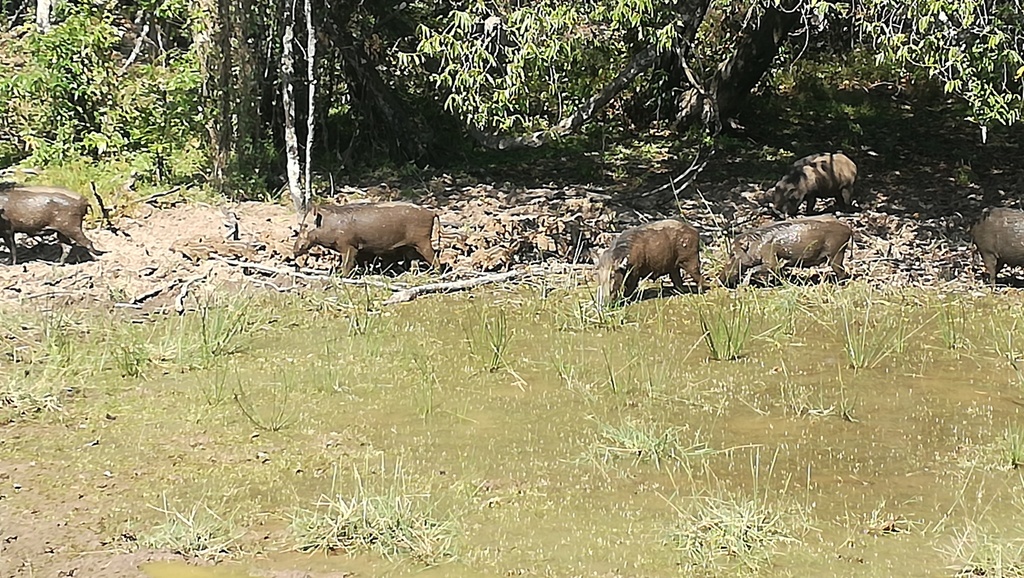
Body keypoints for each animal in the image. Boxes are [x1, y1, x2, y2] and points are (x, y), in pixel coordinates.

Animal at [292, 202, 439, 276]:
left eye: (305, 225)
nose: (294, 250)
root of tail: (432, 212)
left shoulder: (349, 246)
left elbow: (347, 264)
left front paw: (342, 277)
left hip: (423, 241)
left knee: (434, 259)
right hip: (411, 246)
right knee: (414, 261)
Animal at [719, 215, 852, 288]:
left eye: (732, 254)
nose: (719, 279)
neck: (756, 245)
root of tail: (849, 228)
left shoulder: (770, 256)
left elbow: (761, 268)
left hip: (836, 253)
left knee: (841, 270)